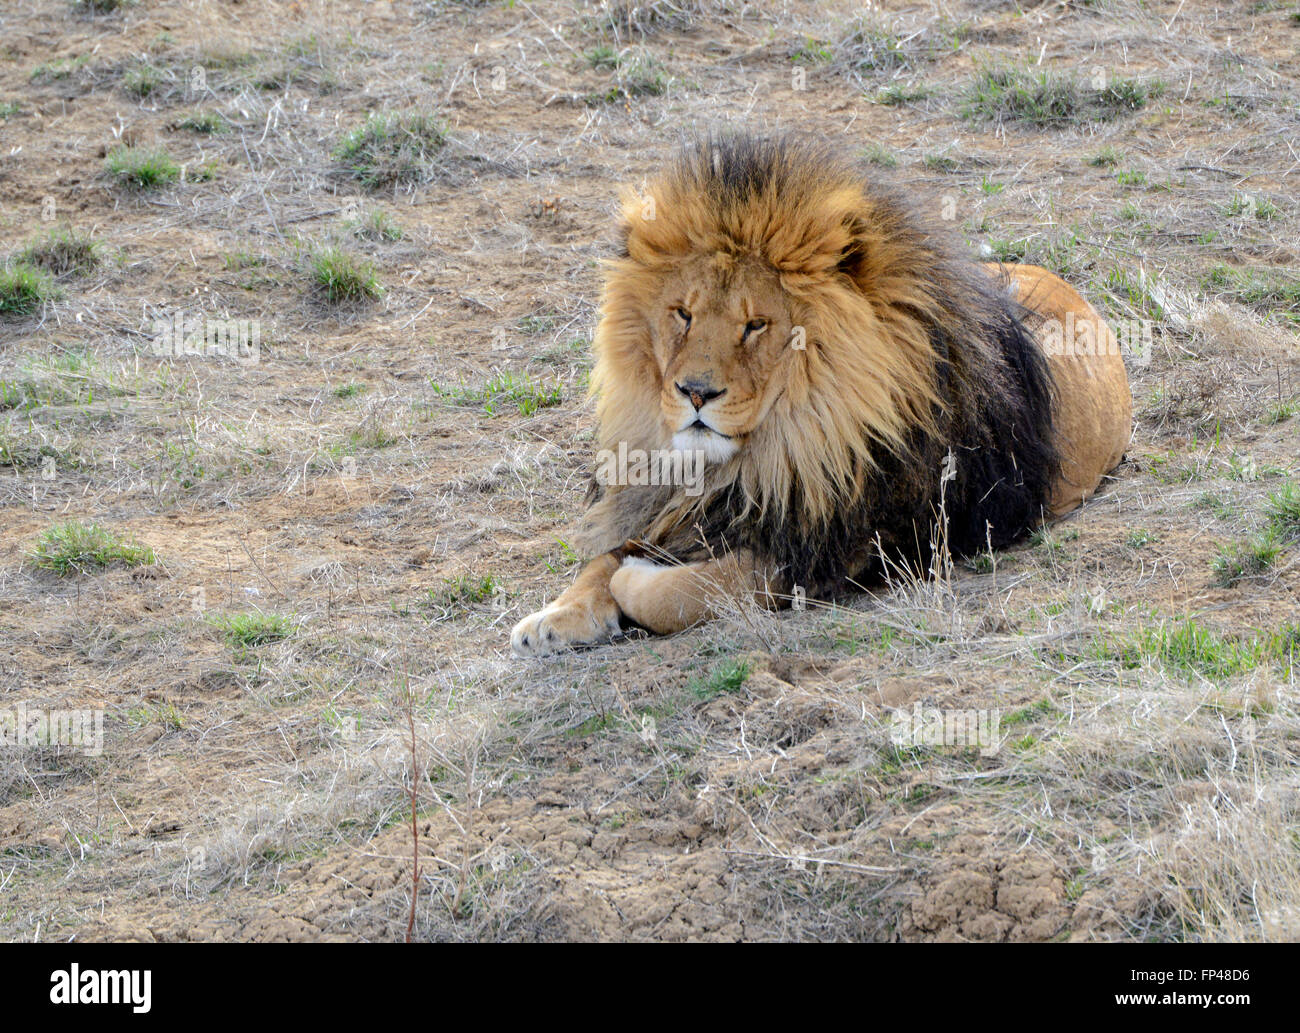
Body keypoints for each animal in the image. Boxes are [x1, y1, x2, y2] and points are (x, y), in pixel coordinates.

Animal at [511, 134, 1131, 656]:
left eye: (756, 325)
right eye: (682, 314)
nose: (694, 393)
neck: (778, 448)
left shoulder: (838, 549)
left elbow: (688, 591)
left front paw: (636, 579)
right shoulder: (673, 506)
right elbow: (600, 561)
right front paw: (552, 616)